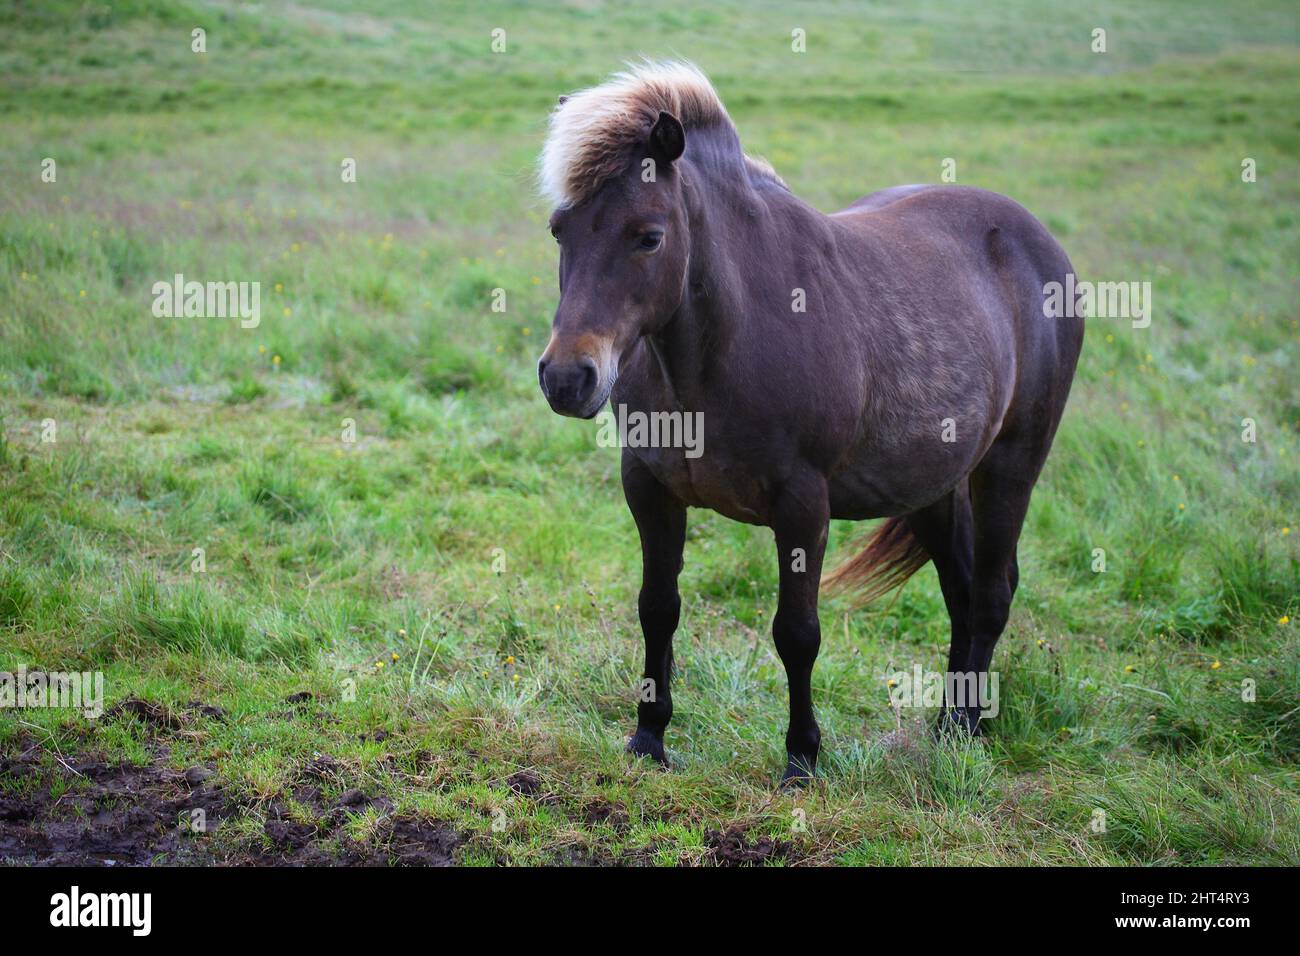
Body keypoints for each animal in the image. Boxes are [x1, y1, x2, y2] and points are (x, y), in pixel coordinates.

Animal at [536, 61, 1083, 783]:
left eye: (648, 236)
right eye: (559, 229)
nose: (567, 378)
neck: (722, 345)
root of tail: (1040, 243)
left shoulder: (802, 505)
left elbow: (796, 634)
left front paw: (802, 757)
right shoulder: (649, 487)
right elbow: (658, 610)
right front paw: (648, 738)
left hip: (1012, 463)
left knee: (993, 592)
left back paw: (964, 728)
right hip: (934, 485)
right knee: (962, 593)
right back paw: (949, 726)